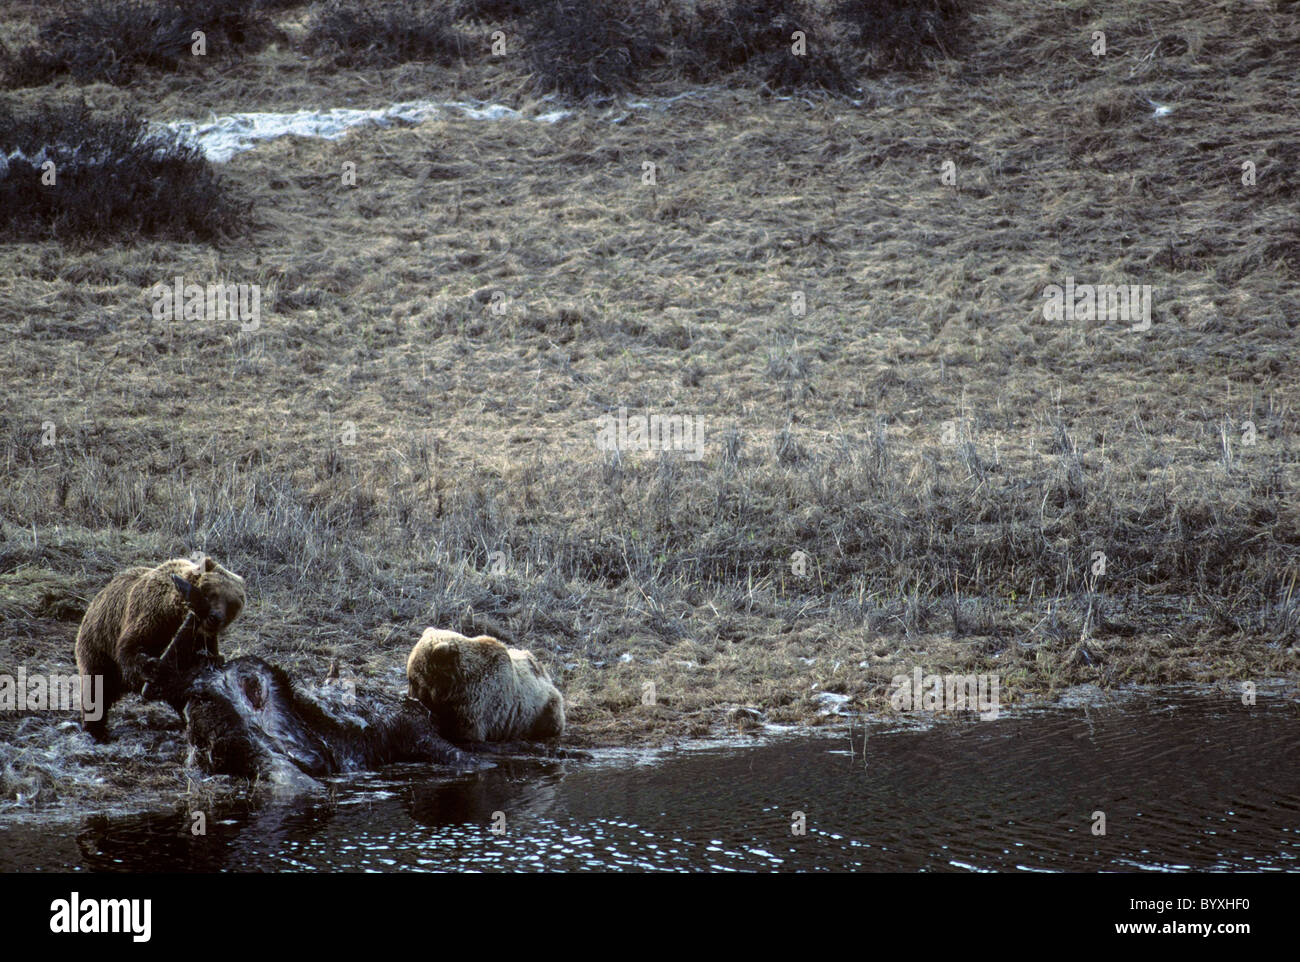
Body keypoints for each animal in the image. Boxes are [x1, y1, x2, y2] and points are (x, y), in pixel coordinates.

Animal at [74, 555, 245, 741]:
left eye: (233, 604)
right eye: (213, 592)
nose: (215, 617)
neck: (174, 612)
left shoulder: (198, 639)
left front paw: (213, 660)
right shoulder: (151, 616)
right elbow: (131, 648)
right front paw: (152, 667)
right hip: (98, 645)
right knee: (96, 687)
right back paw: (95, 730)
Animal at [406, 628, 565, 742]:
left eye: (414, 681)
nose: (410, 698)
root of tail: (547, 675)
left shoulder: (479, 702)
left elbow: (467, 732)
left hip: (545, 707)